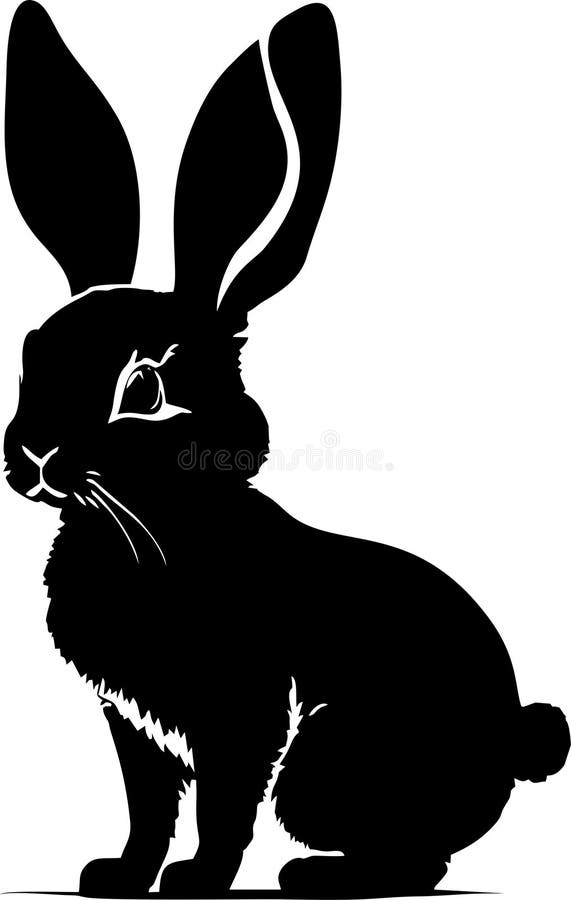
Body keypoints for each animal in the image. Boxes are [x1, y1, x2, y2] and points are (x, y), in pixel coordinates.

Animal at [3, 1, 570, 897]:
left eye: (145, 391)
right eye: (29, 357)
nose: (31, 456)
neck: (149, 524)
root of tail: (510, 741)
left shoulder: (242, 710)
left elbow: (221, 805)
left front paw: (197, 881)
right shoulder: (131, 726)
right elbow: (145, 808)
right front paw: (118, 875)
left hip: (326, 766)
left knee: (414, 853)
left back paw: (314, 875)